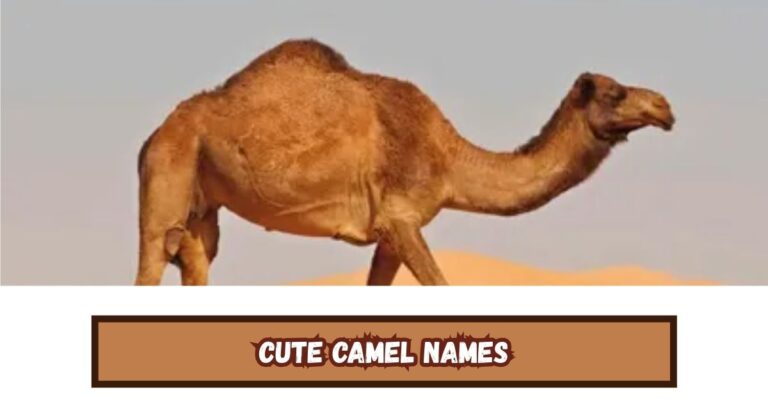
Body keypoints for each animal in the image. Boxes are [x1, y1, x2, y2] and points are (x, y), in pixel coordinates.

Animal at [136, 39, 675, 286]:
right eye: (615, 93)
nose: (664, 106)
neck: (447, 156)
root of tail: (153, 135)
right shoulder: (401, 218)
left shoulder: (389, 233)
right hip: (167, 171)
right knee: (152, 258)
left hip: (203, 205)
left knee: (198, 257)